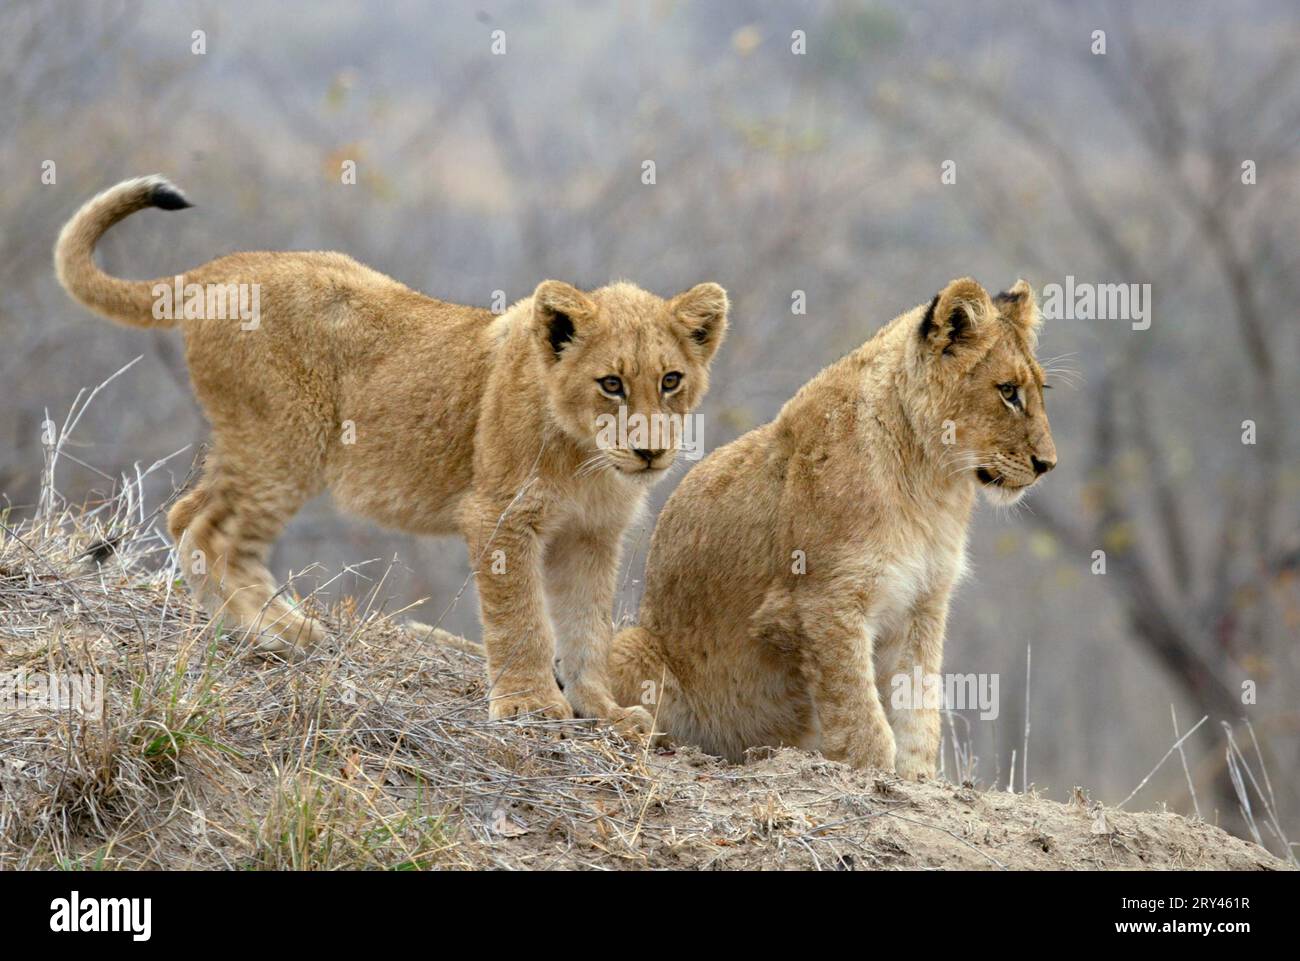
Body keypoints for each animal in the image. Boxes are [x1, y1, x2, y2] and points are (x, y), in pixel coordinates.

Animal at [54, 175, 730, 729]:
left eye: (670, 380)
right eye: (611, 384)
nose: (649, 451)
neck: (588, 458)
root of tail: (226, 266)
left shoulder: (592, 535)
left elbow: (587, 622)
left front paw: (601, 709)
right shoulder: (500, 515)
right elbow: (522, 618)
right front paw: (531, 703)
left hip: (252, 442)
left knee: (185, 514)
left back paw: (277, 627)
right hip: (287, 442)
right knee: (209, 532)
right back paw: (275, 635)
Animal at [605, 277, 1056, 777]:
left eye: (1040, 389)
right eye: (1008, 391)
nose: (1047, 464)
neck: (929, 484)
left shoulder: (923, 606)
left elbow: (918, 713)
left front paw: (915, 778)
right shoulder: (819, 602)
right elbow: (860, 715)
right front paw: (873, 773)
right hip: (631, 644)